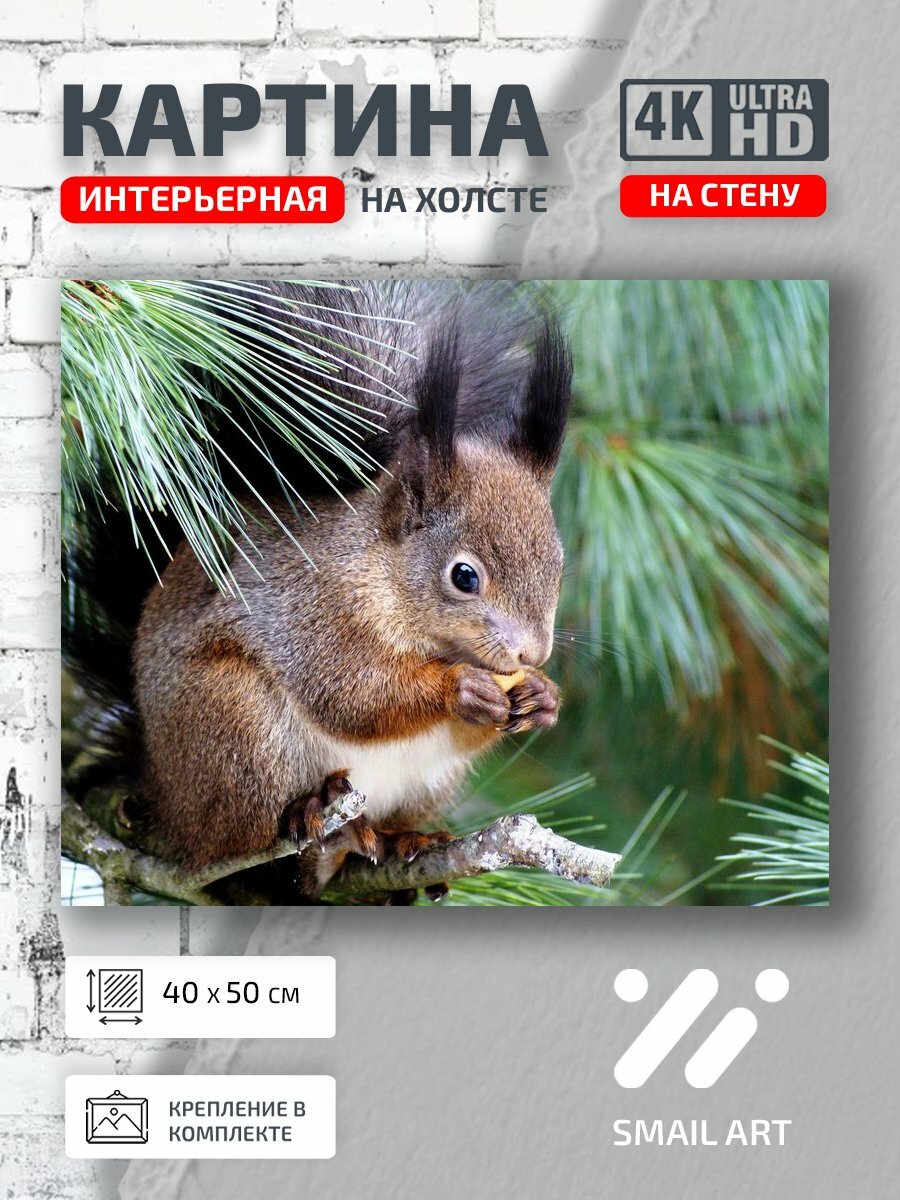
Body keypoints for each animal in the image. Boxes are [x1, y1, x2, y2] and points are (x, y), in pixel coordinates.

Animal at [64, 281, 573, 902]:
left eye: (559, 566)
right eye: (464, 576)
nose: (533, 653)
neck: (379, 571)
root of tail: (160, 786)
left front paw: (543, 697)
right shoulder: (314, 610)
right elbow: (350, 693)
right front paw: (459, 688)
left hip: (426, 782)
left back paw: (405, 841)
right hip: (234, 725)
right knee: (239, 841)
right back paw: (314, 830)